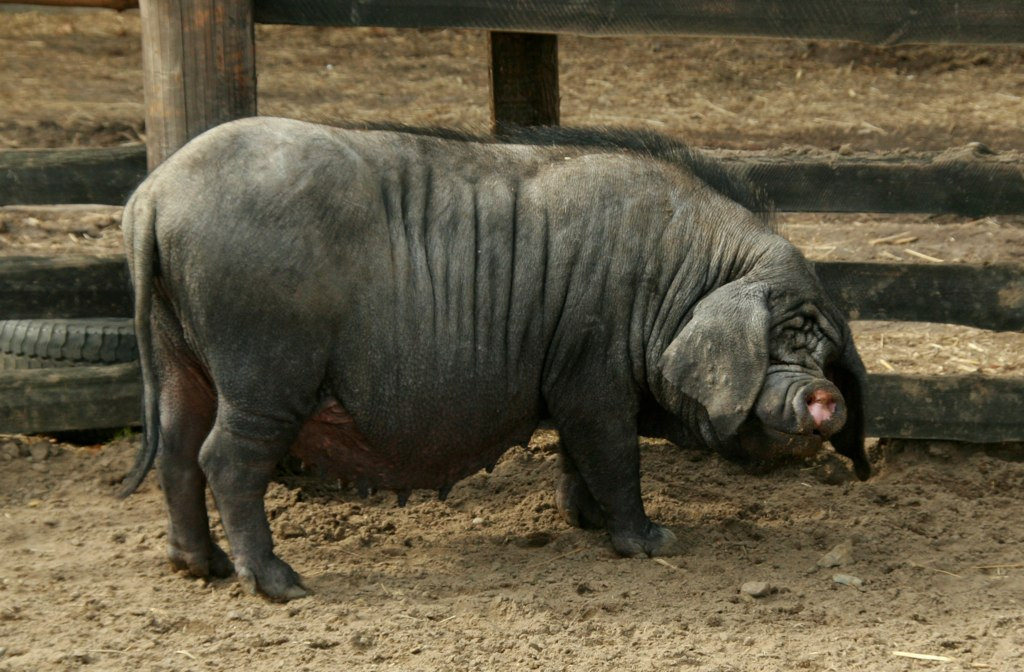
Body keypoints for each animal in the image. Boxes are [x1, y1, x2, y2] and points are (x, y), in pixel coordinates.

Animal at [119, 117, 869, 601]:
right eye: (783, 337)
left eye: (825, 348)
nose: (824, 398)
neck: (682, 284)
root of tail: (154, 196)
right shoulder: (593, 374)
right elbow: (615, 457)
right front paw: (656, 542)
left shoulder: (570, 378)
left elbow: (579, 457)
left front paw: (583, 523)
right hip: (266, 367)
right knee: (224, 459)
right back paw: (282, 587)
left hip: (179, 353)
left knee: (178, 450)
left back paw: (201, 568)